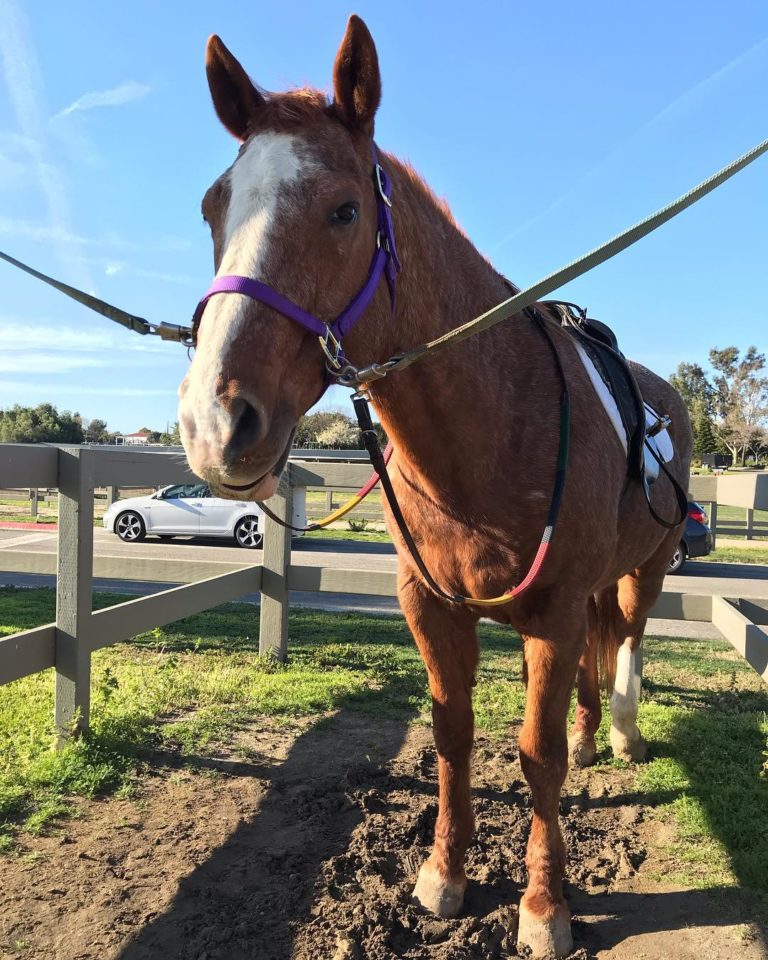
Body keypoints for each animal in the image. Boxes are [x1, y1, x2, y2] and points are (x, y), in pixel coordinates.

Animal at [178, 16, 692, 957]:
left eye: (344, 209)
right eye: (212, 207)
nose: (212, 422)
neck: (494, 419)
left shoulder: (552, 615)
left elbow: (535, 753)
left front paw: (544, 906)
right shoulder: (431, 607)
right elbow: (454, 736)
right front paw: (446, 874)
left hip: (647, 568)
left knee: (630, 642)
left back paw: (622, 733)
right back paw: (596, 735)